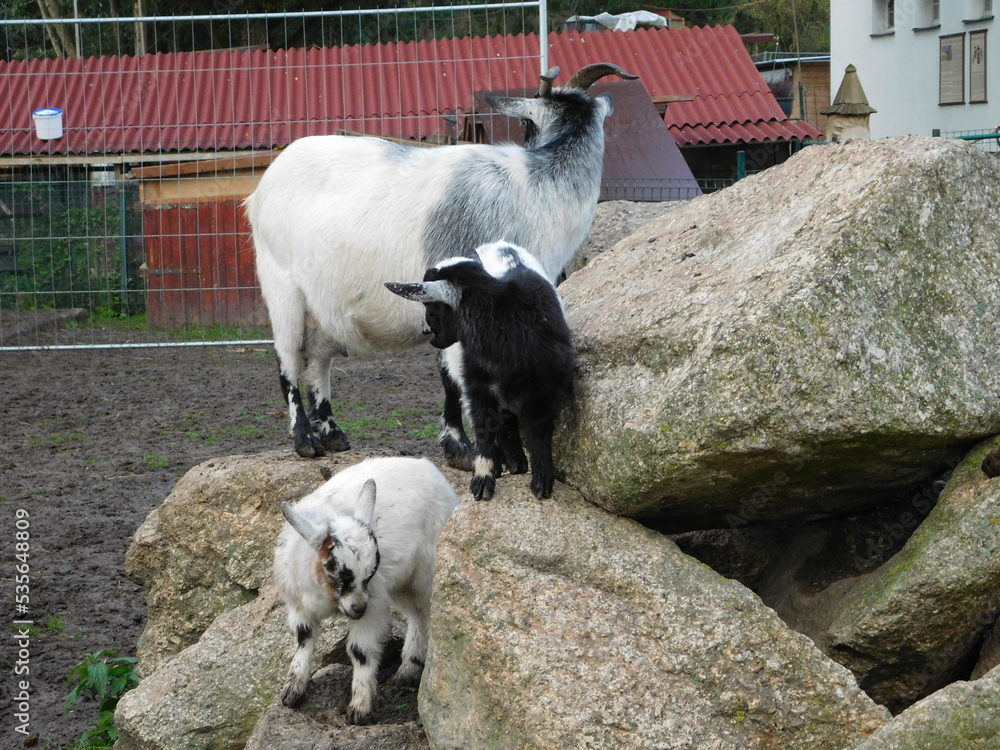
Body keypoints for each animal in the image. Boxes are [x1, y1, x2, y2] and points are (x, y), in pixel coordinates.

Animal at [244, 63, 635, 463]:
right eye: (527, 124)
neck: (536, 188)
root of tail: (262, 187)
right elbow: (454, 377)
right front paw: (463, 449)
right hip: (282, 289)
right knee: (287, 361)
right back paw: (305, 439)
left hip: (323, 309)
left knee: (318, 362)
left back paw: (333, 433)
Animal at [273, 456, 458, 723]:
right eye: (334, 570)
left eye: (370, 574)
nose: (358, 608)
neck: (328, 596)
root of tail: (430, 467)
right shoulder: (299, 606)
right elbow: (303, 640)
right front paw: (292, 691)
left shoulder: (373, 604)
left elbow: (360, 651)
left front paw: (359, 709)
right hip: (404, 583)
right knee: (417, 614)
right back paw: (408, 669)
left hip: (427, 571)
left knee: (427, 611)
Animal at [386, 241, 574, 501]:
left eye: (432, 306)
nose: (427, 332)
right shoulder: (476, 385)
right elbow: (484, 429)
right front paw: (483, 480)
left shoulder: (546, 389)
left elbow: (540, 432)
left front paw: (542, 480)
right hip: (453, 369)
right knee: (454, 398)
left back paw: (515, 462)